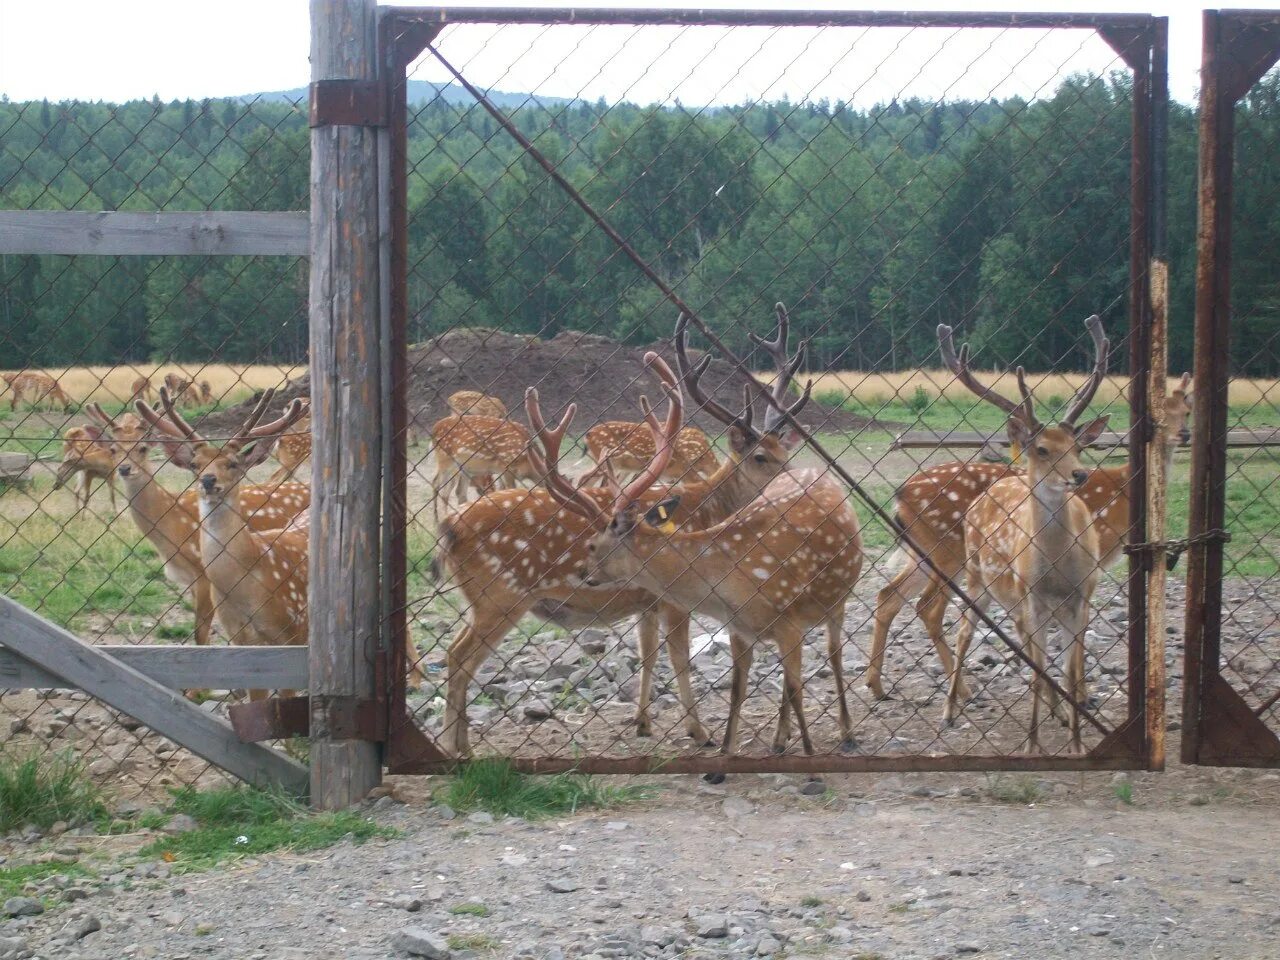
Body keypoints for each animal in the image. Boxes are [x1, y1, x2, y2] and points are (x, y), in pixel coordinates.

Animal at [535, 353, 865, 757]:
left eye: (595, 544)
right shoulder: (741, 628)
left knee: (834, 653)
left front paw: (806, 752)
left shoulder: (784, 620)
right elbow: (740, 689)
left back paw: (846, 731)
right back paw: (780, 737)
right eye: (760, 457)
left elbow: (793, 688)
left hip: (838, 600)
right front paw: (726, 749)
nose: (584, 571)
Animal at [942, 320, 1111, 757]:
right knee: (964, 633)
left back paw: (1060, 713)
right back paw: (948, 712)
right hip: (977, 575)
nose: (1079, 474)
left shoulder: (1081, 598)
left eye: (1077, 446)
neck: (1055, 570)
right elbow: (1037, 672)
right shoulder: (1032, 597)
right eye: (1042, 449)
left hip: (1017, 599)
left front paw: (1076, 742)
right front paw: (1032, 746)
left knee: (1034, 652)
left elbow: (1070, 671)